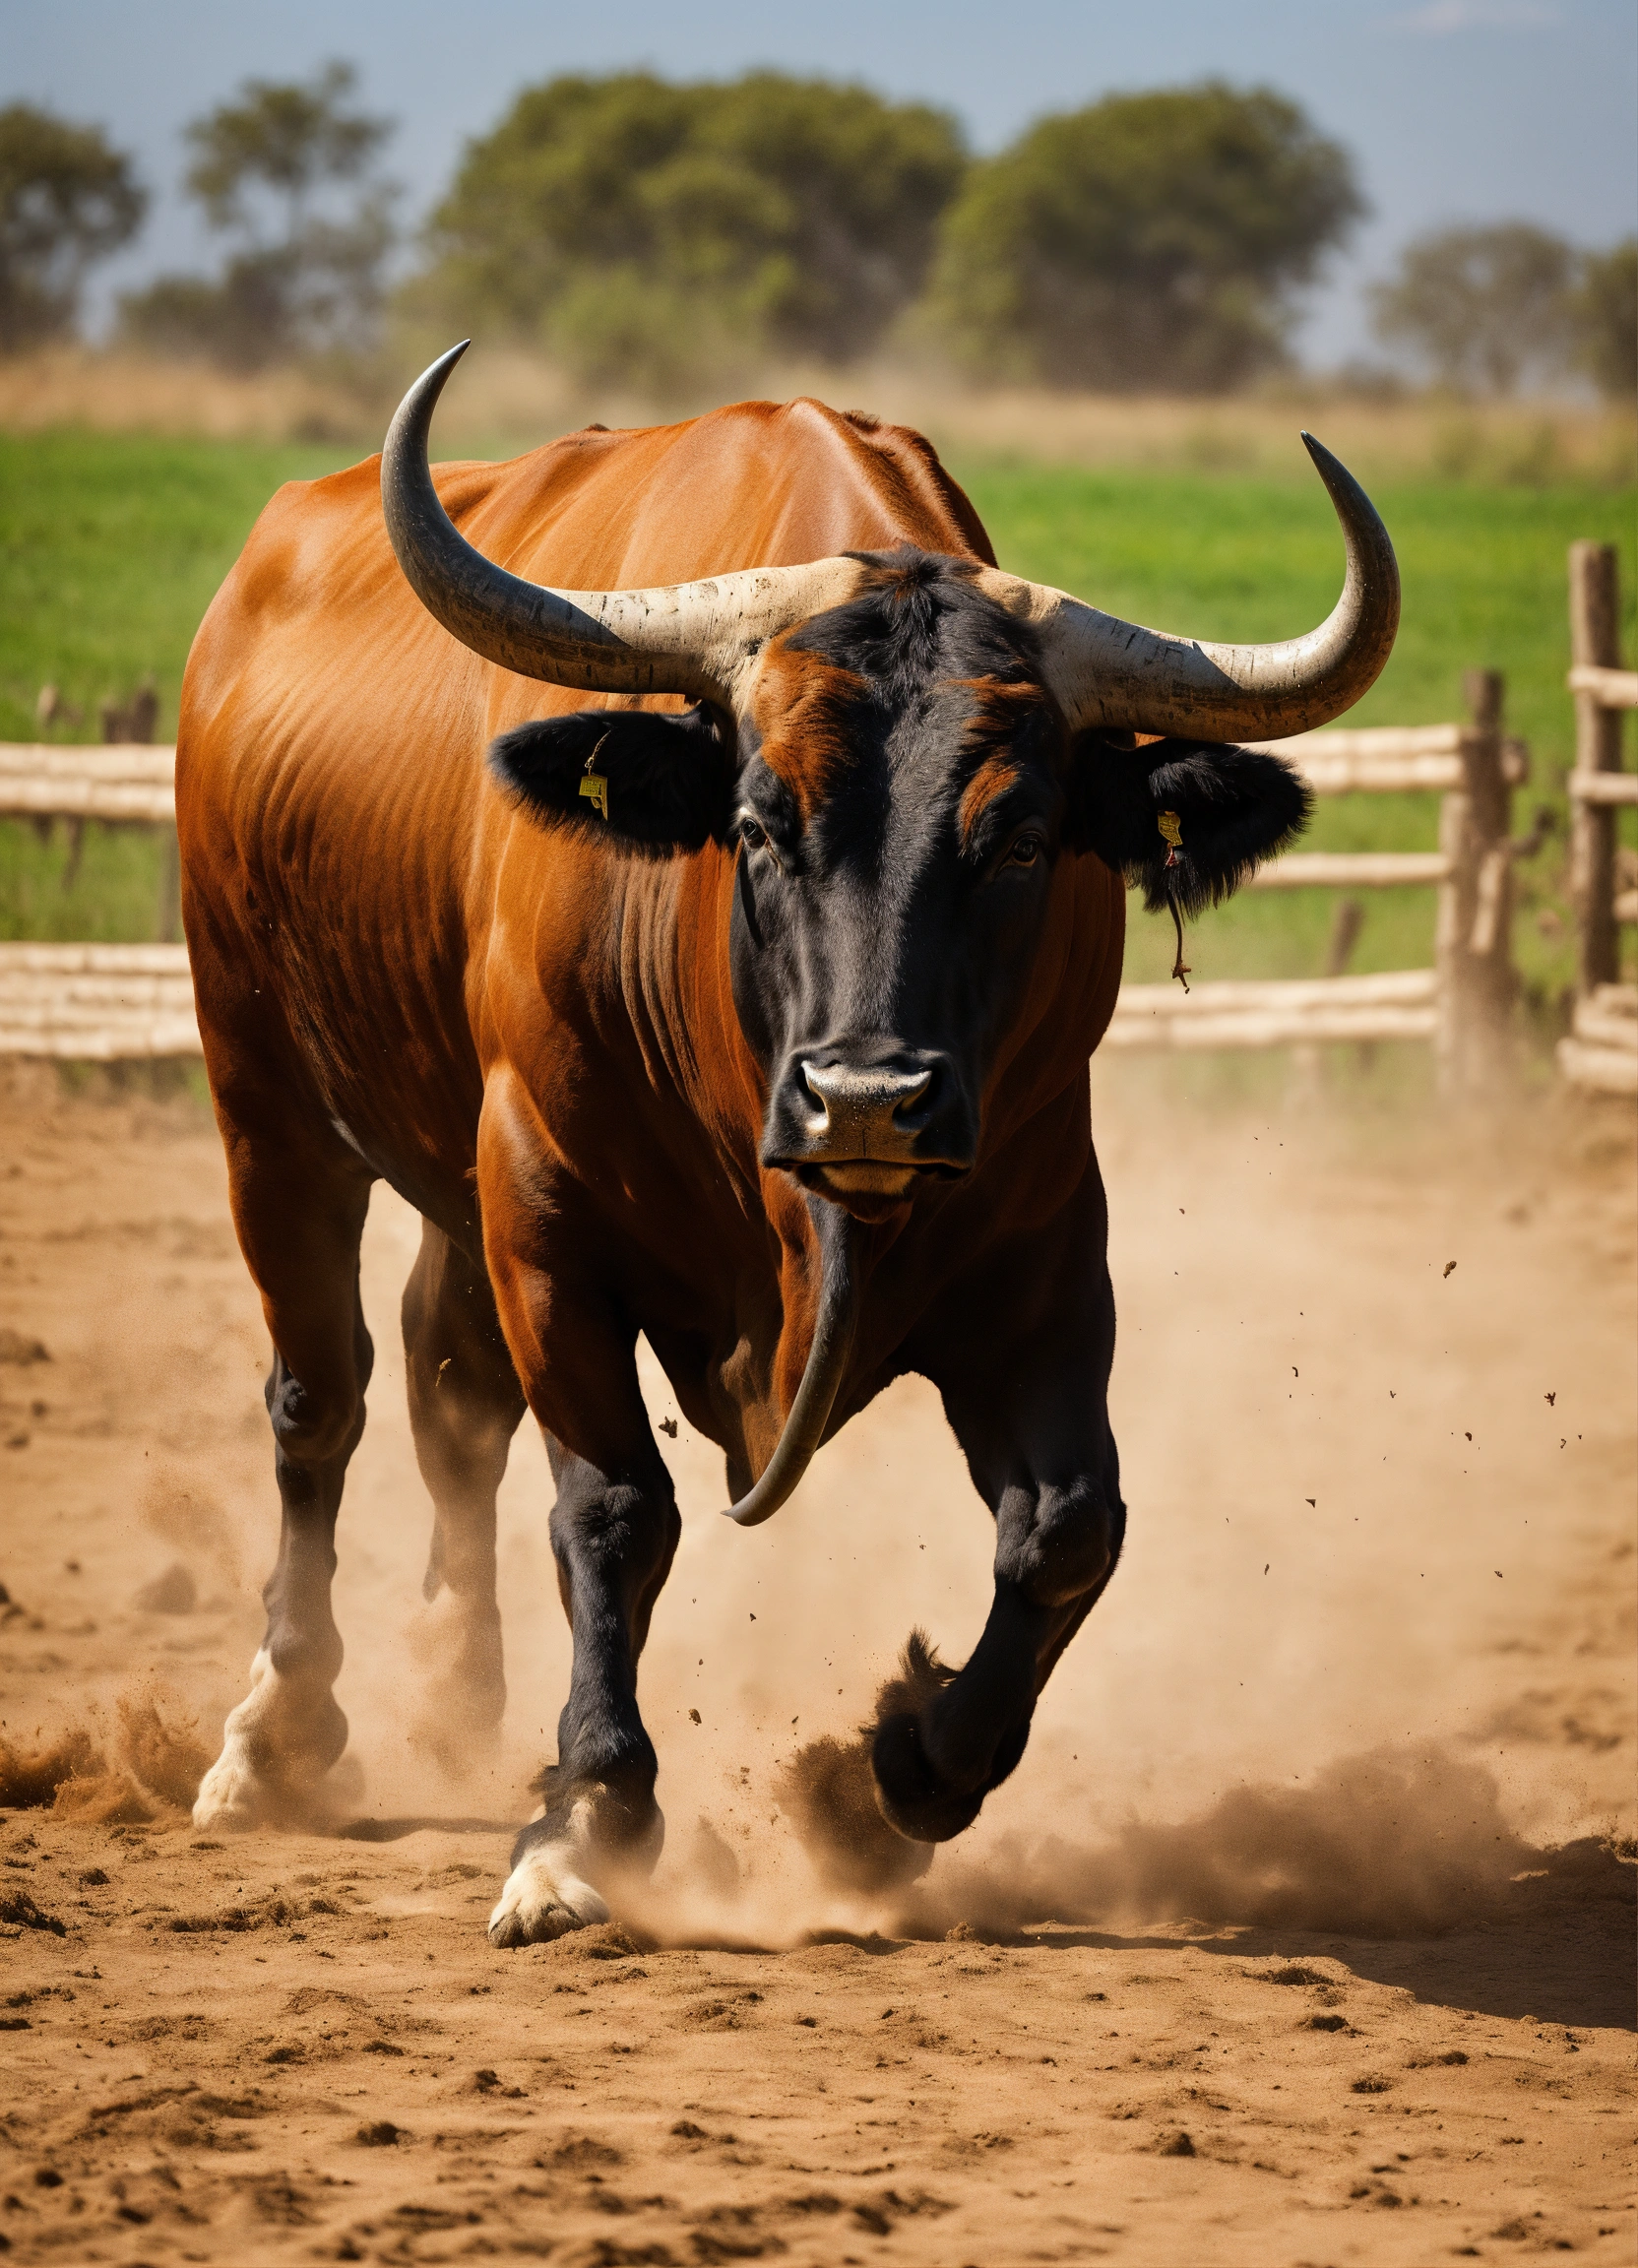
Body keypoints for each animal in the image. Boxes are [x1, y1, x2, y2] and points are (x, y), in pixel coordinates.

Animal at [178, 343, 1397, 1943]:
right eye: (758, 823)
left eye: (1021, 840)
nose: (865, 1100)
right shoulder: (548, 1215)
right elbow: (613, 1512)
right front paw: (586, 1815)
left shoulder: (1042, 1250)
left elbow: (1070, 1524)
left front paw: (896, 1775)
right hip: (265, 1099)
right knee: (321, 1398)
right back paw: (275, 1731)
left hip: (442, 1174)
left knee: (451, 1391)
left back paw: (451, 1684)